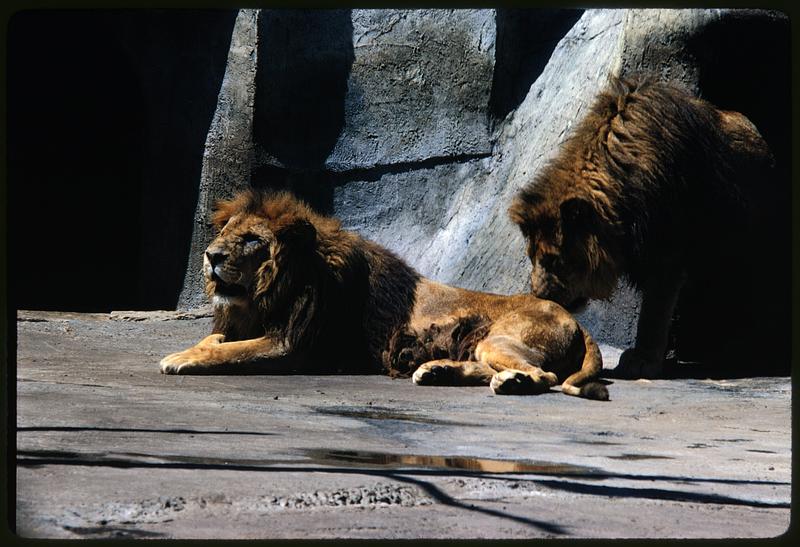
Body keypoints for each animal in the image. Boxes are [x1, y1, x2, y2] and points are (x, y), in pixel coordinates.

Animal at [160, 190, 609, 400]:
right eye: (225, 231)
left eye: (253, 239)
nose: (211, 255)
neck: (267, 295)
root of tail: (576, 319)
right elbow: (217, 339)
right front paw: (195, 346)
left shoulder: (294, 345)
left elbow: (230, 352)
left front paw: (180, 357)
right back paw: (438, 371)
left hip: (499, 338)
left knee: (544, 376)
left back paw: (511, 382)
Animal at [508, 76, 775, 379]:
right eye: (531, 257)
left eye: (554, 259)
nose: (539, 296)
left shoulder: (668, 251)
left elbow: (653, 311)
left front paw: (643, 361)